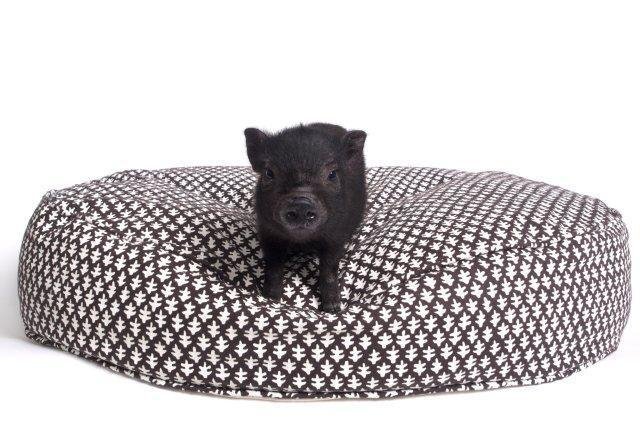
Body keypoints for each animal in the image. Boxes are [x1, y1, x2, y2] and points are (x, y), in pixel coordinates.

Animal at [244, 123, 367, 313]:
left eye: (332, 174)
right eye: (269, 173)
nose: (301, 203)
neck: (303, 241)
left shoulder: (336, 235)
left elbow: (329, 268)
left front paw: (332, 308)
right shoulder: (268, 233)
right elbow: (273, 266)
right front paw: (271, 298)